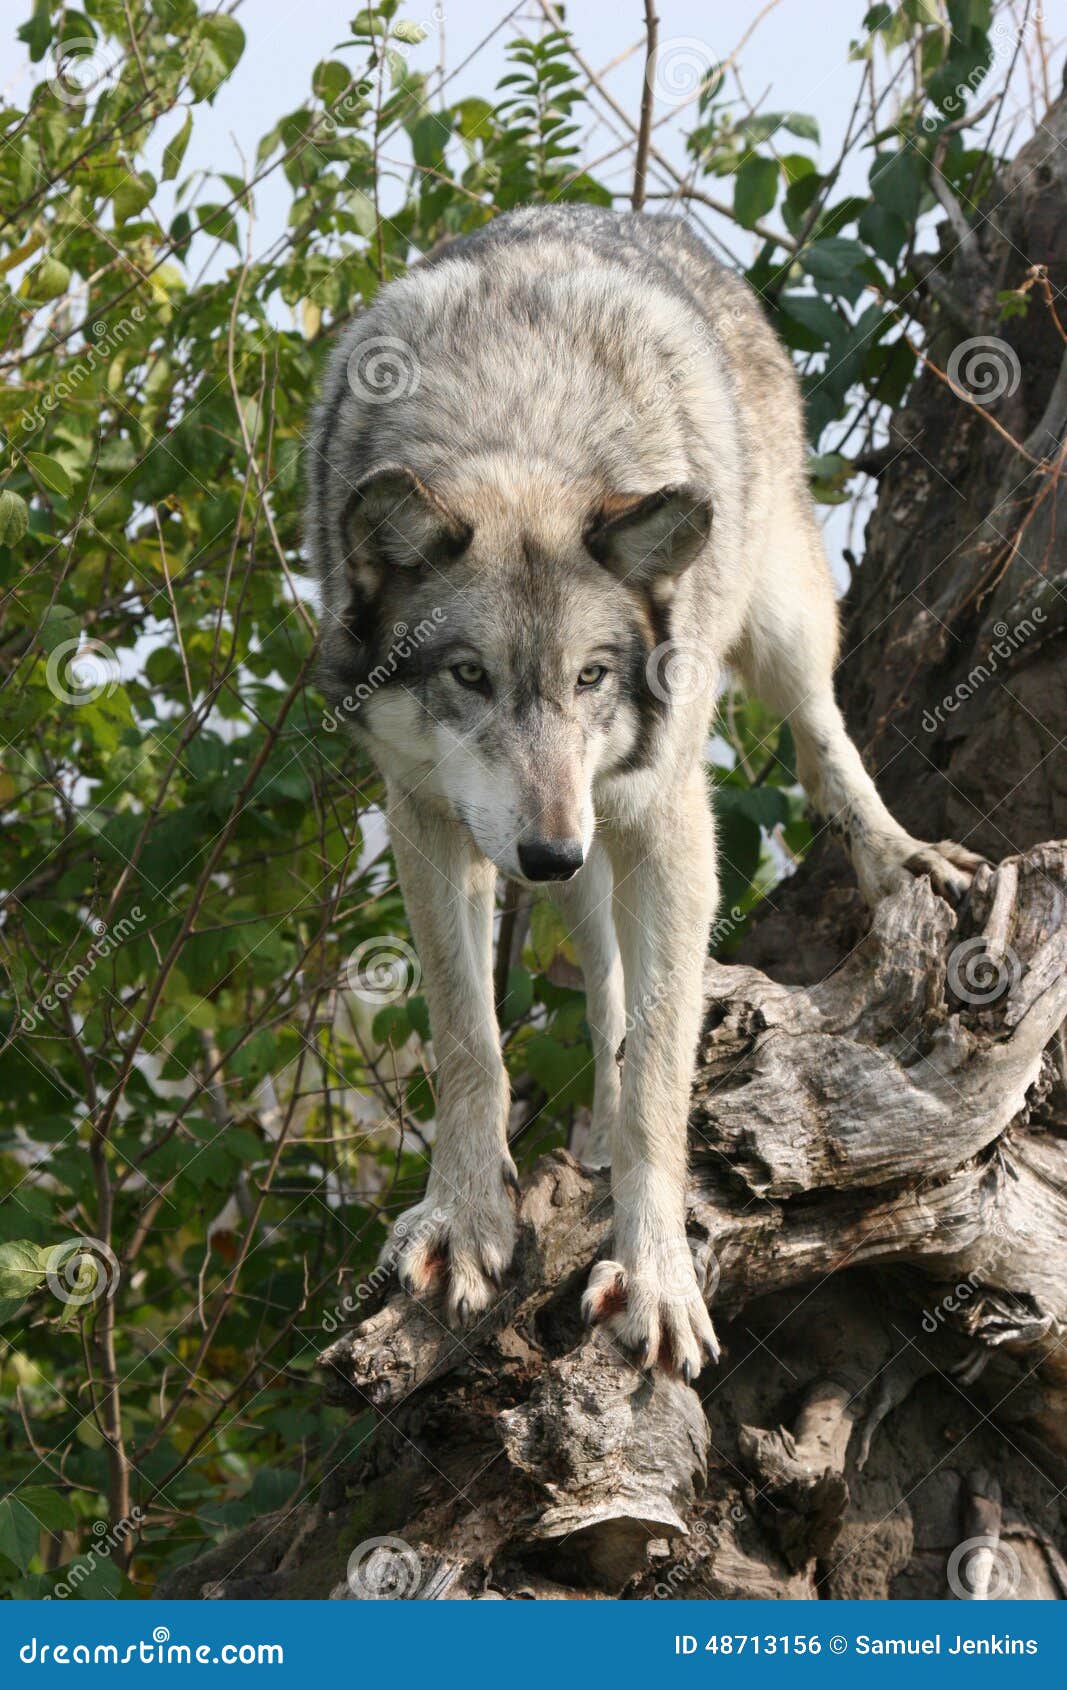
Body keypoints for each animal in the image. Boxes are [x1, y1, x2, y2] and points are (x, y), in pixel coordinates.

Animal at [307, 205, 983, 1381]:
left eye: (590, 677)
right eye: (468, 676)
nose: (545, 855)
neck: (518, 432)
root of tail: (638, 216)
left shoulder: (667, 824)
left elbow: (664, 1077)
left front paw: (657, 1271)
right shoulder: (429, 817)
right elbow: (468, 1041)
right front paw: (465, 1219)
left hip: (770, 629)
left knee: (822, 739)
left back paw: (900, 857)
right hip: (585, 837)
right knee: (603, 988)